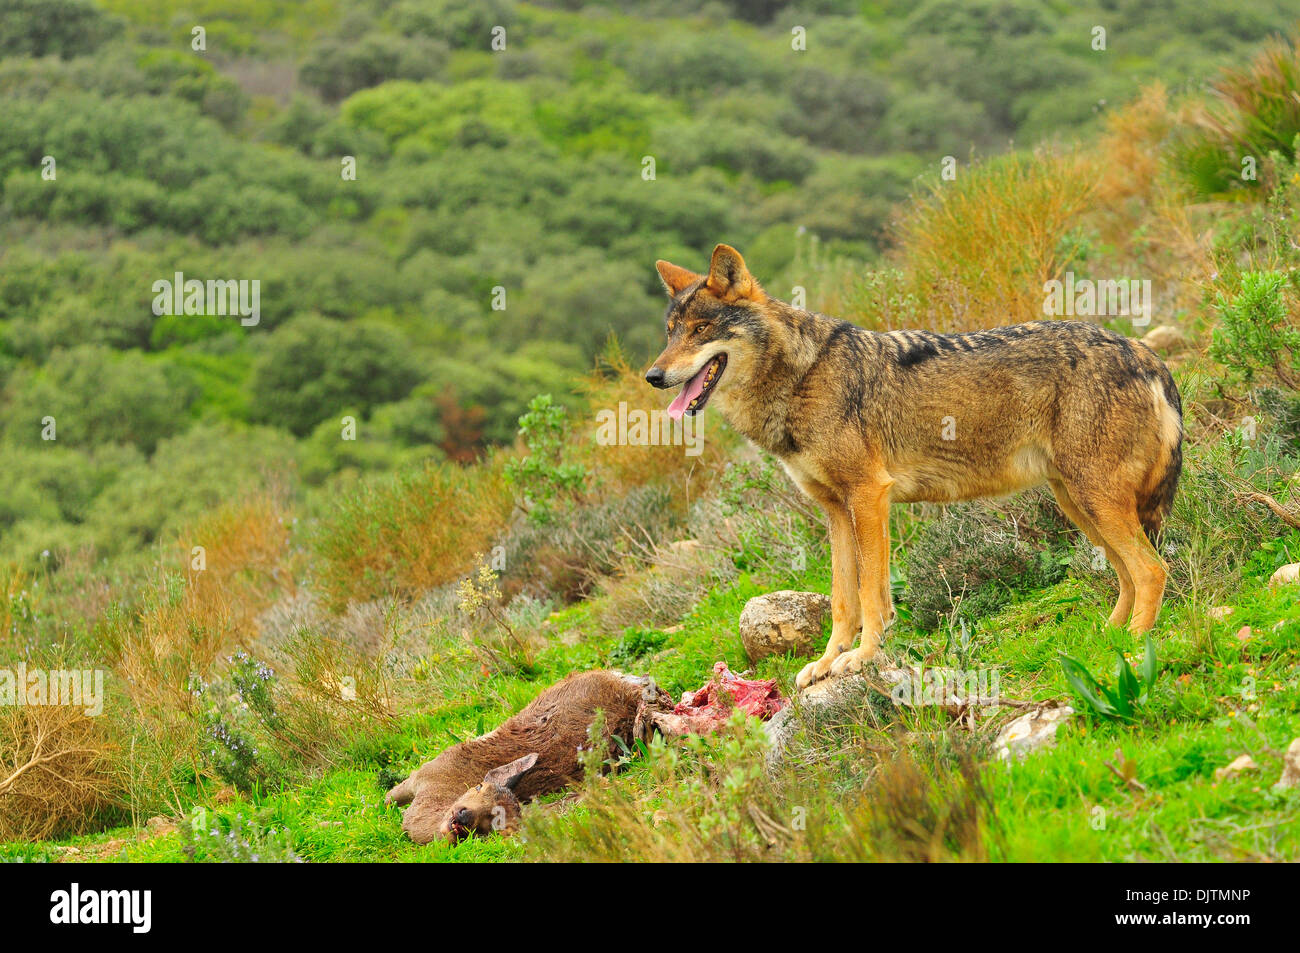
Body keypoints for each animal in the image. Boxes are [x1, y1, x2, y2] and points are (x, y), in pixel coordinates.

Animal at [645, 245, 1183, 689]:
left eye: (701, 331)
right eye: (670, 334)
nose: (653, 375)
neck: (802, 376)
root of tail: (1144, 352)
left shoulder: (870, 495)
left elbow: (871, 594)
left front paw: (862, 658)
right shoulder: (835, 511)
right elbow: (842, 599)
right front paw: (827, 662)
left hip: (1097, 502)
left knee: (1152, 570)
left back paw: (1132, 646)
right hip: (1079, 506)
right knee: (1128, 575)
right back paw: (1105, 637)